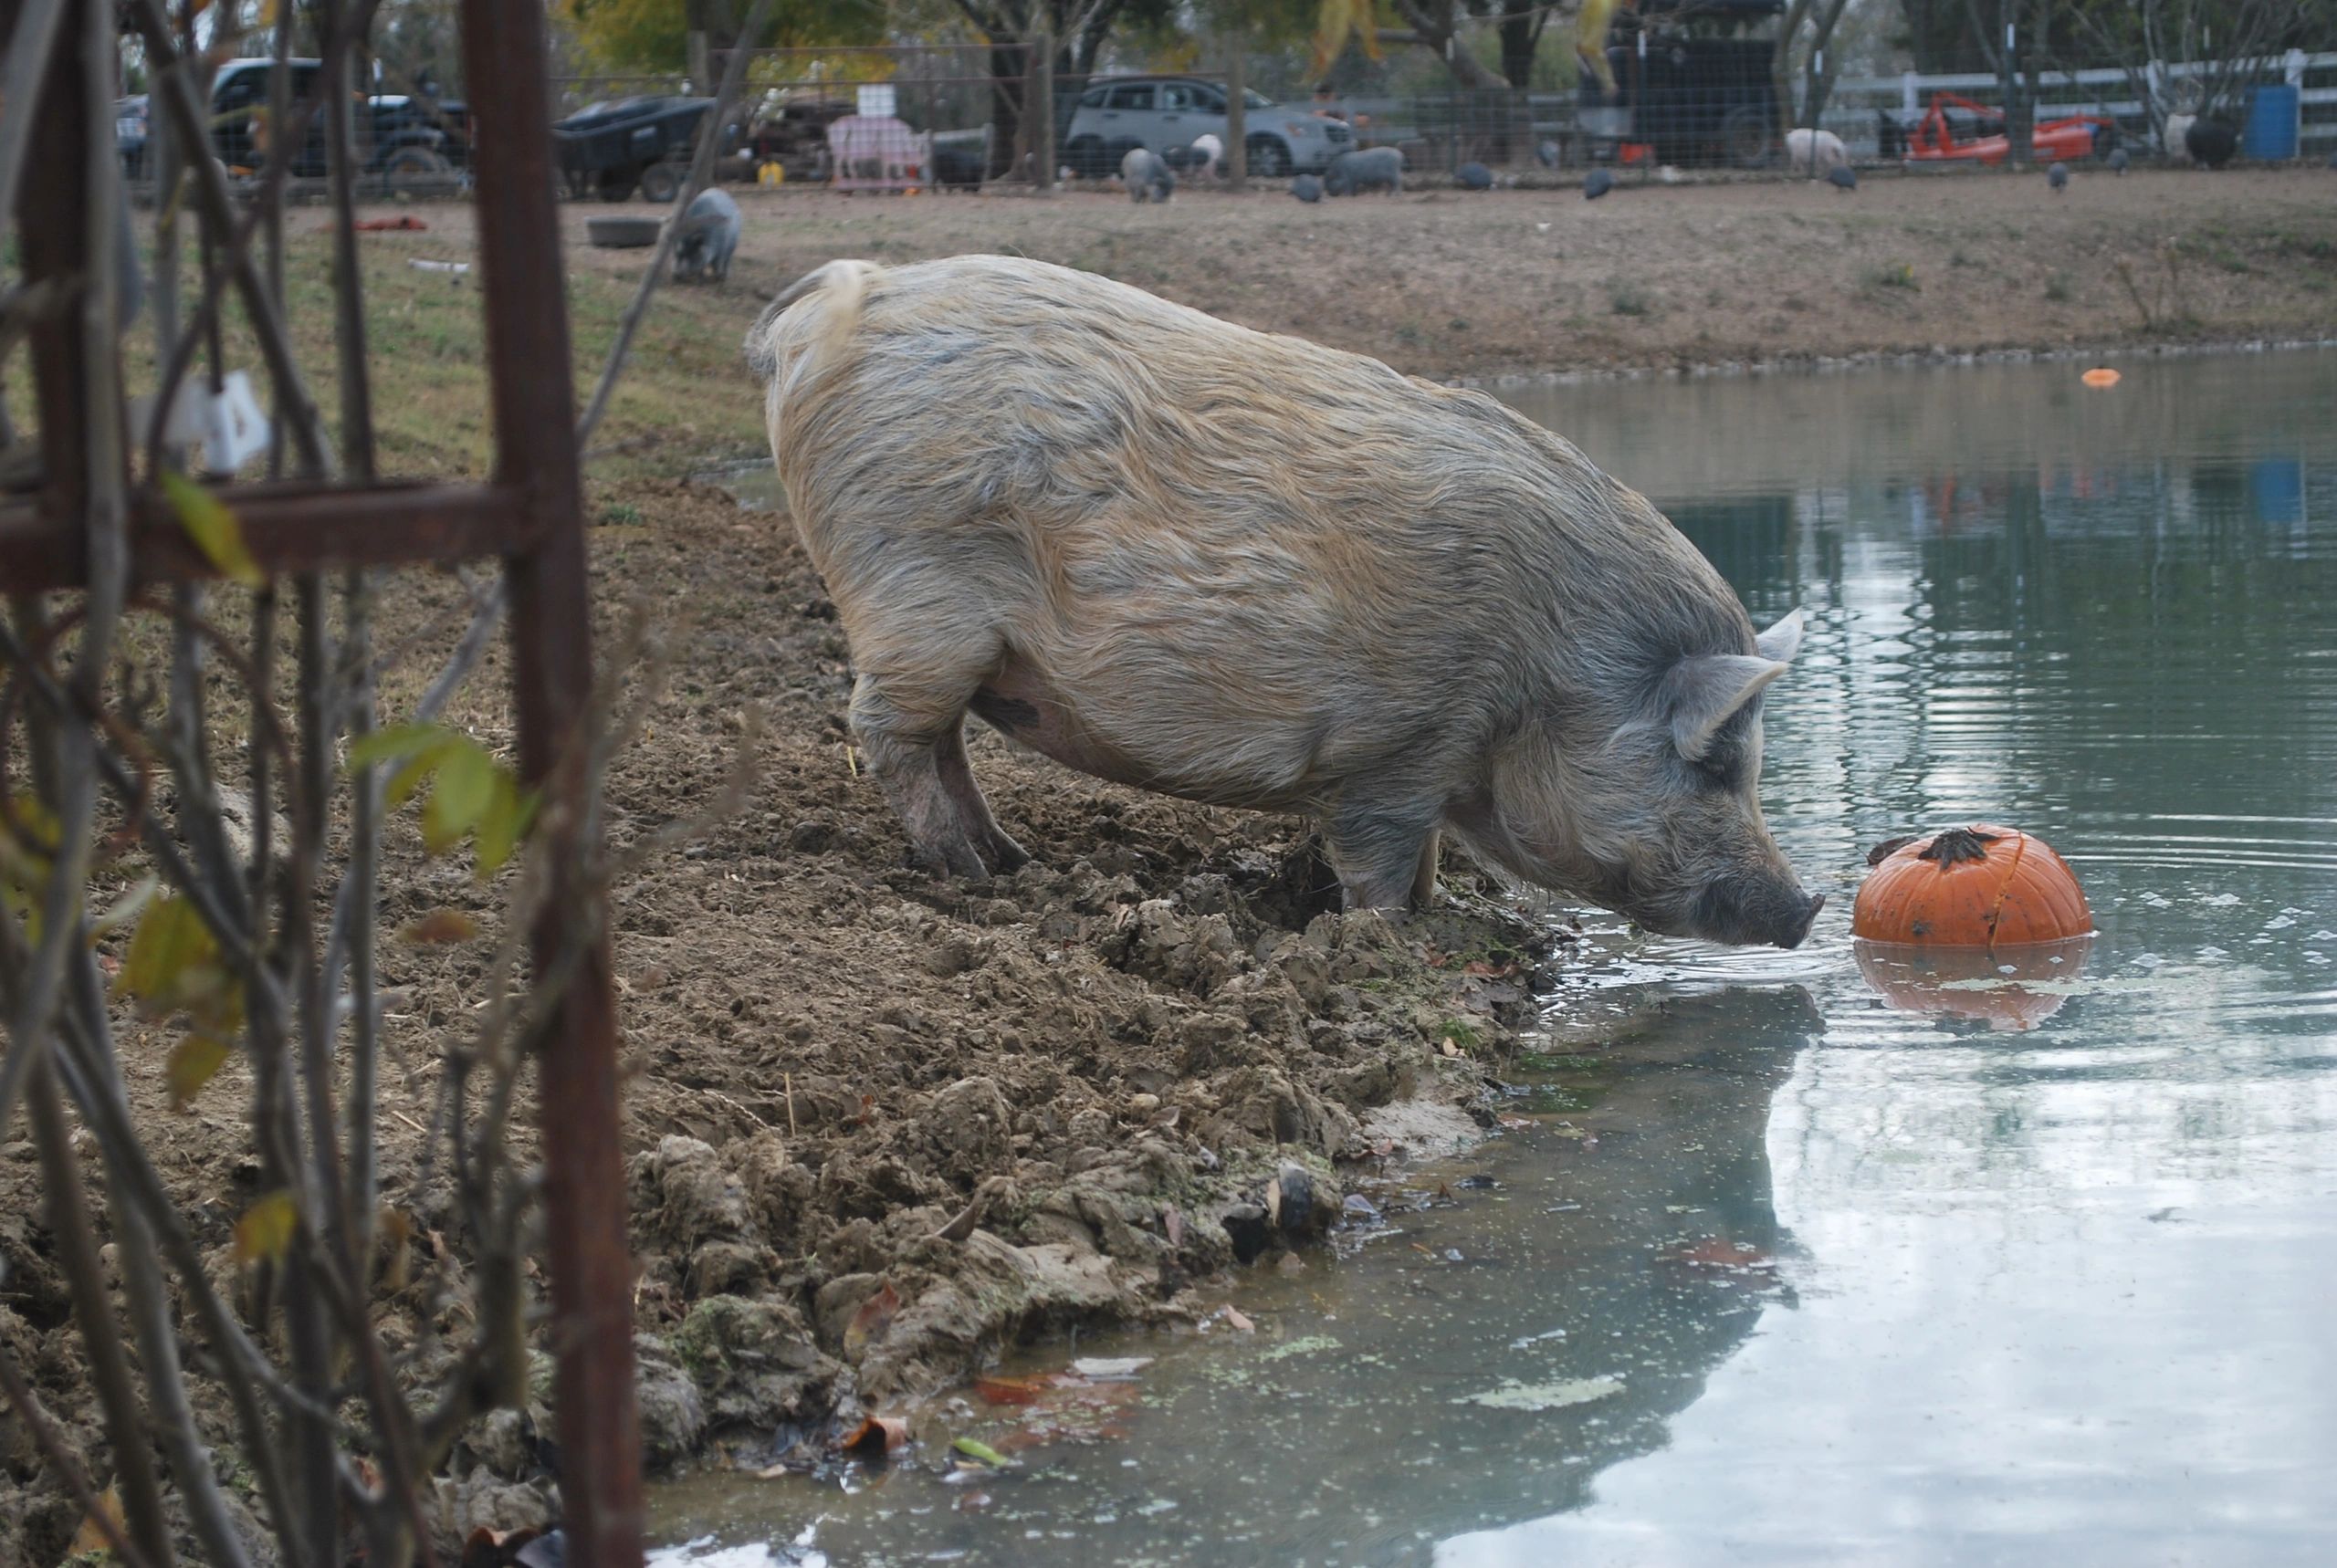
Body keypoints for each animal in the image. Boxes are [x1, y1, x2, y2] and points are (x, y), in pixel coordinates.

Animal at [745, 256, 1823, 948]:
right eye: (1714, 763)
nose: (1806, 907)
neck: (1550, 672)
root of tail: (819, 312)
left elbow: (1425, 853)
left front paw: (1432, 916)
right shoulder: (1399, 750)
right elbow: (1379, 857)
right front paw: (1384, 939)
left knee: (944, 744)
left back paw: (1010, 860)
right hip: (912, 602)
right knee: (886, 732)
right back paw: (966, 873)